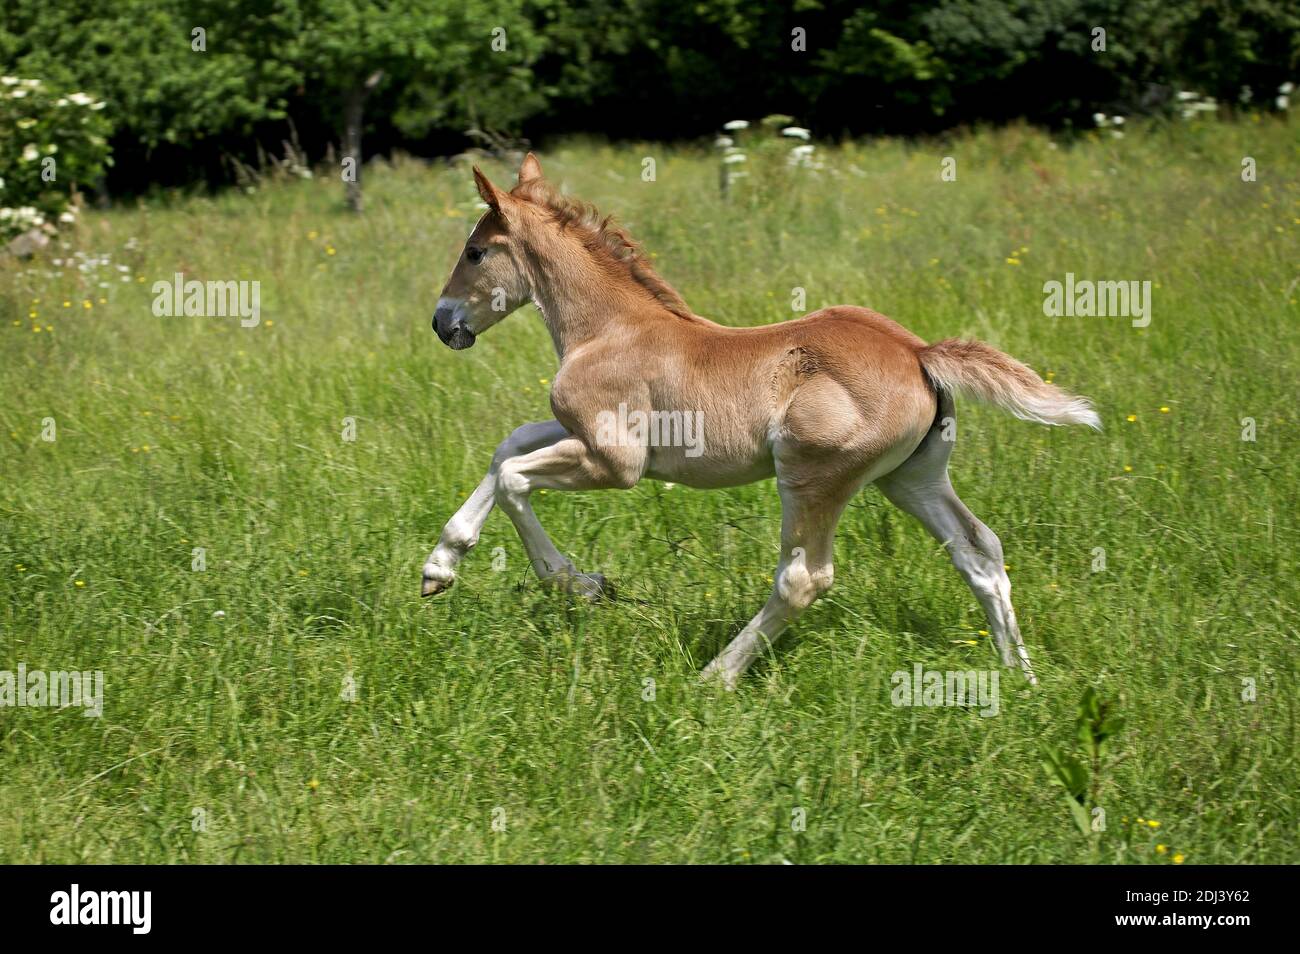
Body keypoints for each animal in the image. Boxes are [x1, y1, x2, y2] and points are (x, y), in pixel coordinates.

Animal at [423, 153, 1099, 688]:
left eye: (475, 251)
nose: (442, 322)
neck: (610, 329)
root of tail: (919, 353)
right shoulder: (582, 434)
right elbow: (507, 447)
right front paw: (440, 566)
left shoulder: (616, 463)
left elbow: (513, 475)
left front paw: (578, 583)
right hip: (911, 478)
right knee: (979, 548)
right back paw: (1022, 676)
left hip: (813, 476)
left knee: (804, 578)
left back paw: (714, 677)